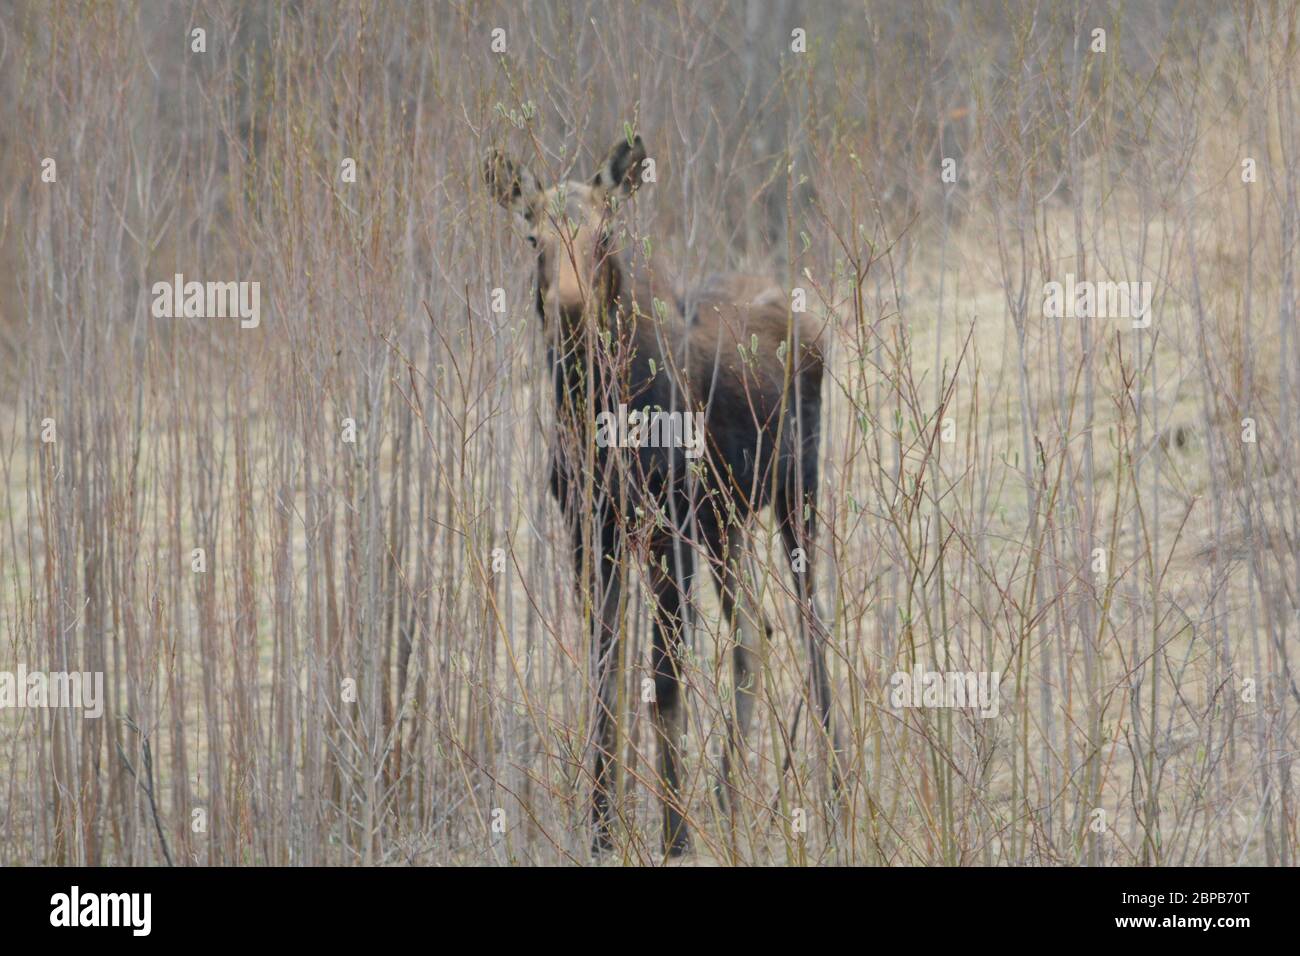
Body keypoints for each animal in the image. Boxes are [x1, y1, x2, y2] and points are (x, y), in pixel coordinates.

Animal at [484, 134, 839, 857]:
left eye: (605, 232)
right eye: (532, 234)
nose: (569, 309)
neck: (595, 403)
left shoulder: (664, 528)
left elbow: (666, 684)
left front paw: (673, 835)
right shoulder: (590, 529)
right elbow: (606, 677)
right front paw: (601, 826)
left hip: (796, 497)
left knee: (812, 625)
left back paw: (839, 797)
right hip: (725, 522)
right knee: (754, 631)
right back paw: (727, 797)